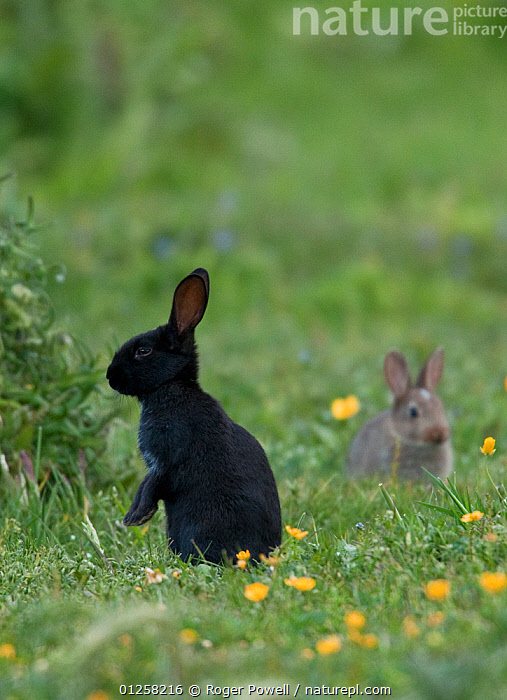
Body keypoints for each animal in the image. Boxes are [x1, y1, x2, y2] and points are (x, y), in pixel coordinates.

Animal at [106, 268, 282, 564]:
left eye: (143, 351)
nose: (109, 376)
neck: (172, 386)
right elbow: (145, 485)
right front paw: (133, 517)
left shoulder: (168, 458)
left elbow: (152, 486)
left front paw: (136, 518)